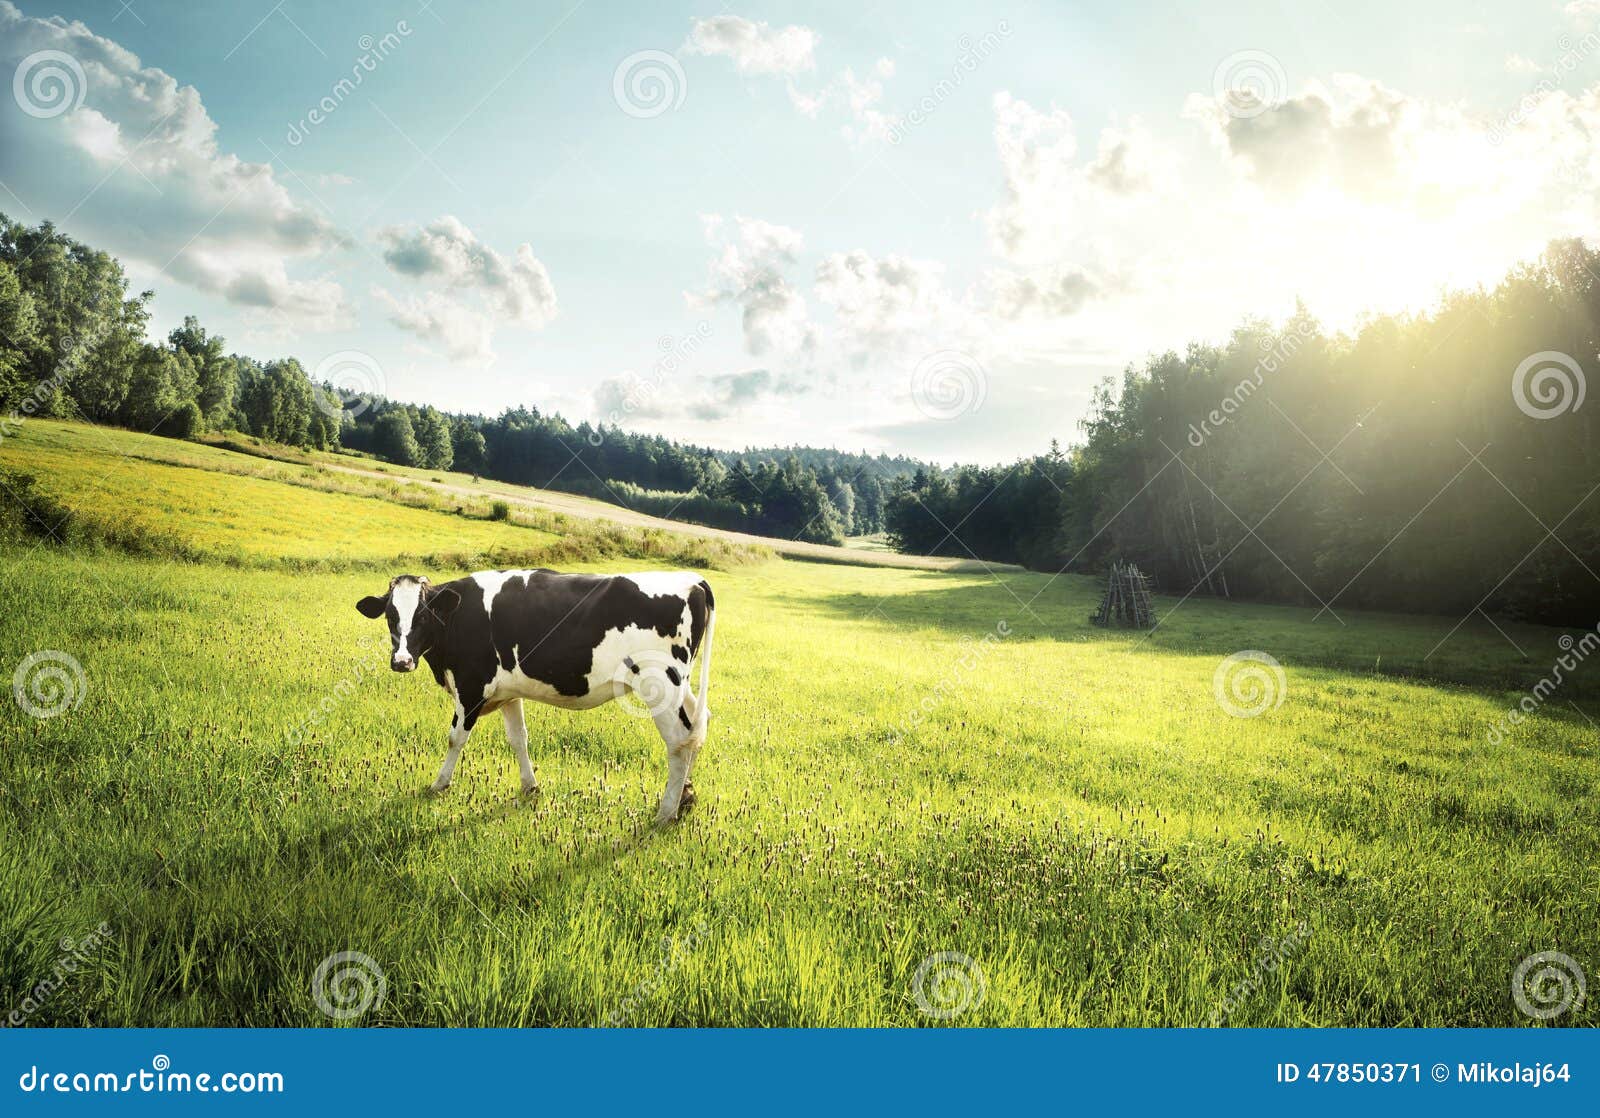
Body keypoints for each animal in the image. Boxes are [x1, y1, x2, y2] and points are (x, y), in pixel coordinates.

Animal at [356, 568, 716, 824]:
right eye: (390, 616)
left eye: (423, 616)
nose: (401, 661)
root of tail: (691, 579)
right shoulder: (508, 692)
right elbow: (519, 738)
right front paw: (530, 787)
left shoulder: (471, 687)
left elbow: (455, 738)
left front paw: (439, 785)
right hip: (681, 688)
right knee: (697, 728)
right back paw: (686, 797)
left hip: (661, 685)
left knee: (679, 742)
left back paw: (666, 812)